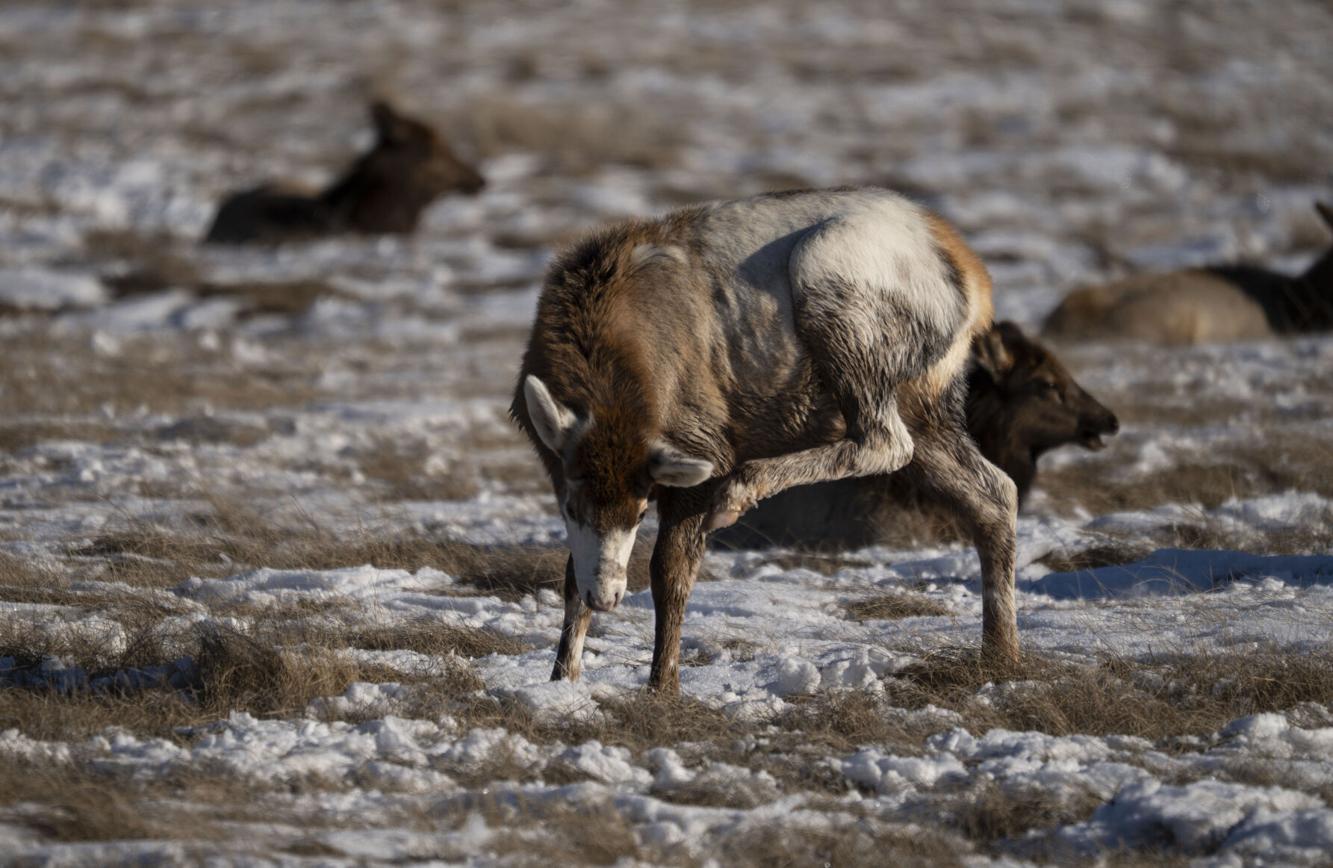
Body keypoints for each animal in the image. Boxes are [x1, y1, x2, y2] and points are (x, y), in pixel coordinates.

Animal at [512, 187, 1019, 692]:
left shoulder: (702, 457)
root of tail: (974, 282)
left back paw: (741, 489)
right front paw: (561, 676)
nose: (607, 596)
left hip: (834, 295)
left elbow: (670, 575)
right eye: (571, 506)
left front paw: (662, 686)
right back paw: (1001, 653)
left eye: (639, 513)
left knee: (885, 440)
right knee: (996, 493)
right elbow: (571, 575)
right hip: (928, 408)